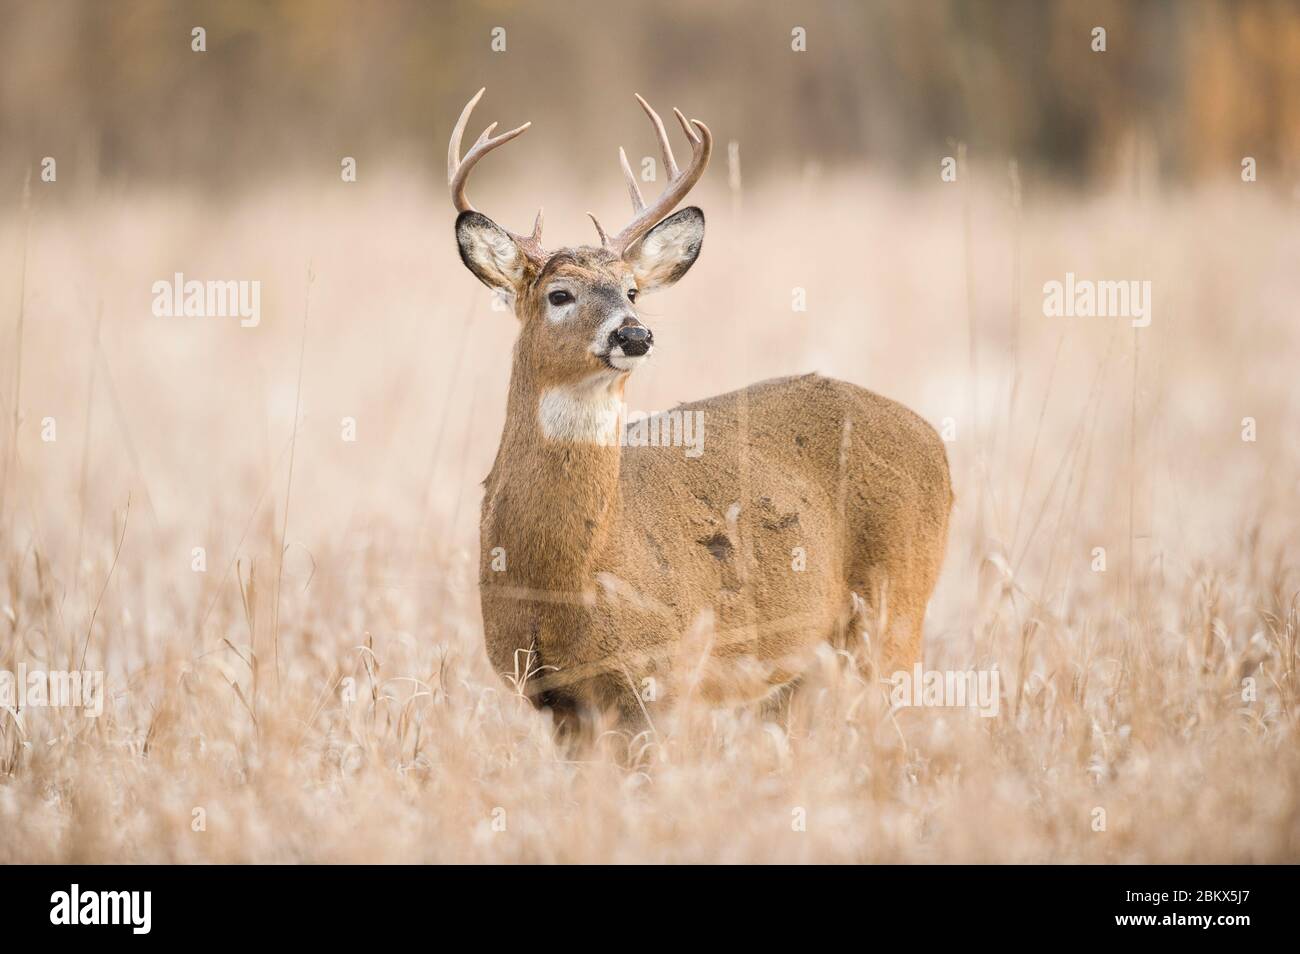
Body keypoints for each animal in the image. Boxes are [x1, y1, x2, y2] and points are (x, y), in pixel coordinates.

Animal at [448, 89, 953, 729]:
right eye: (559, 294)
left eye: (631, 291)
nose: (634, 334)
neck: (569, 577)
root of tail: (936, 441)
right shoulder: (557, 701)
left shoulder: (666, 676)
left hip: (898, 607)